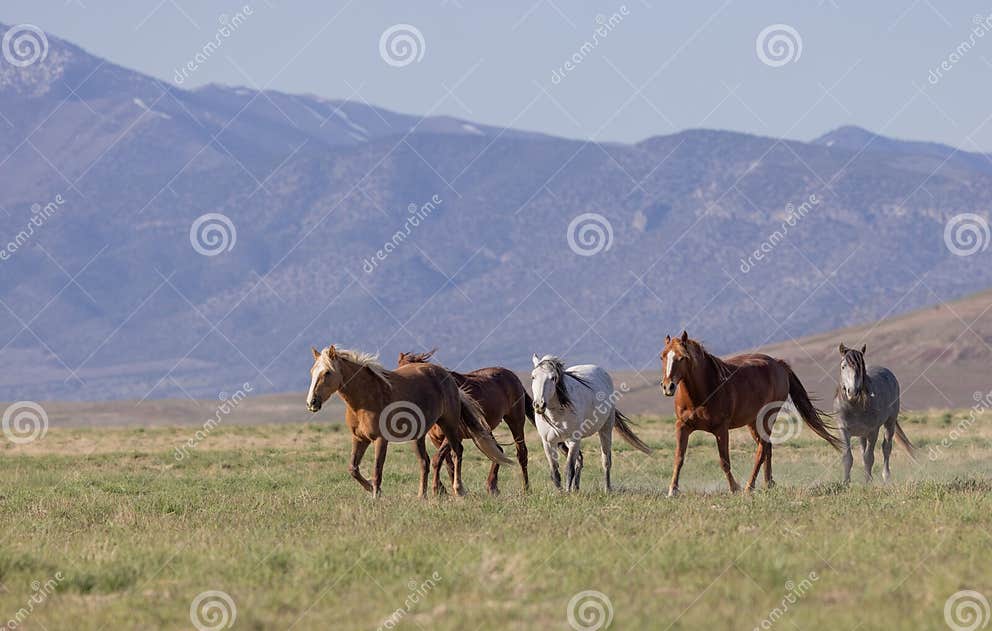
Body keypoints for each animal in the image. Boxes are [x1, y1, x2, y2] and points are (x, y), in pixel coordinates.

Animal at [305, 345, 513, 498]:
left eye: (327, 373)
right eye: (312, 372)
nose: (311, 402)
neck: (365, 398)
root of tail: (447, 377)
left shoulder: (380, 439)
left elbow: (377, 470)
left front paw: (376, 495)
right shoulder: (359, 439)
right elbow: (353, 469)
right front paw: (371, 489)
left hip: (449, 424)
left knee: (456, 452)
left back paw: (458, 490)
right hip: (418, 436)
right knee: (425, 462)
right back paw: (422, 495)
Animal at [396, 349, 536, 496]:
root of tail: (514, 377)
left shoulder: (452, 434)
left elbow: (437, 459)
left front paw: (440, 490)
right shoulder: (436, 439)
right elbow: (447, 463)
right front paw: (446, 490)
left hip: (516, 422)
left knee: (521, 454)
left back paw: (526, 489)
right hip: (484, 429)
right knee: (497, 450)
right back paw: (491, 486)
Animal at [530, 354, 652, 492]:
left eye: (553, 378)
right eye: (533, 376)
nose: (539, 405)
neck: (557, 413)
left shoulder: (574, 440)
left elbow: (569, 469)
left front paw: (567, 493)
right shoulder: (548, 442)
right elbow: (555, 473)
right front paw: (561, 493)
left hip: (605, 429)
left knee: (606, 461)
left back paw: (607, 489)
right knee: (579, 461)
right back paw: (576, 489)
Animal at [659, 331, 842, 496]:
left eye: (682, 357)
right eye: (662, 356)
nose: (668, 386)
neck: (702, 394)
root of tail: (779, 364)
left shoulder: (721, 429)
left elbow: (724, 461)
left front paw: (734, 488)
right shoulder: (682, 426)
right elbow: (679, 458)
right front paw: (672, 490)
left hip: (767, 418)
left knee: (762, 450)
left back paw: (749, 487)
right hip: (752, 423)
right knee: (767, 447)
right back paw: (768, 483)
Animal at [834, 343, 916, 484]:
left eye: (860, 368)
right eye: (843, 366)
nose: (852, 392)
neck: (854, 406)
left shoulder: (873, 431)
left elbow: (869, 457)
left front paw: (868, 481)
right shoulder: (843, 430)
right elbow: (848, 457)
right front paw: (845, 482)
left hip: (889, 423)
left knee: (886, 448)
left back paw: (886, 476)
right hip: (862, 433)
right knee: (863, 449)